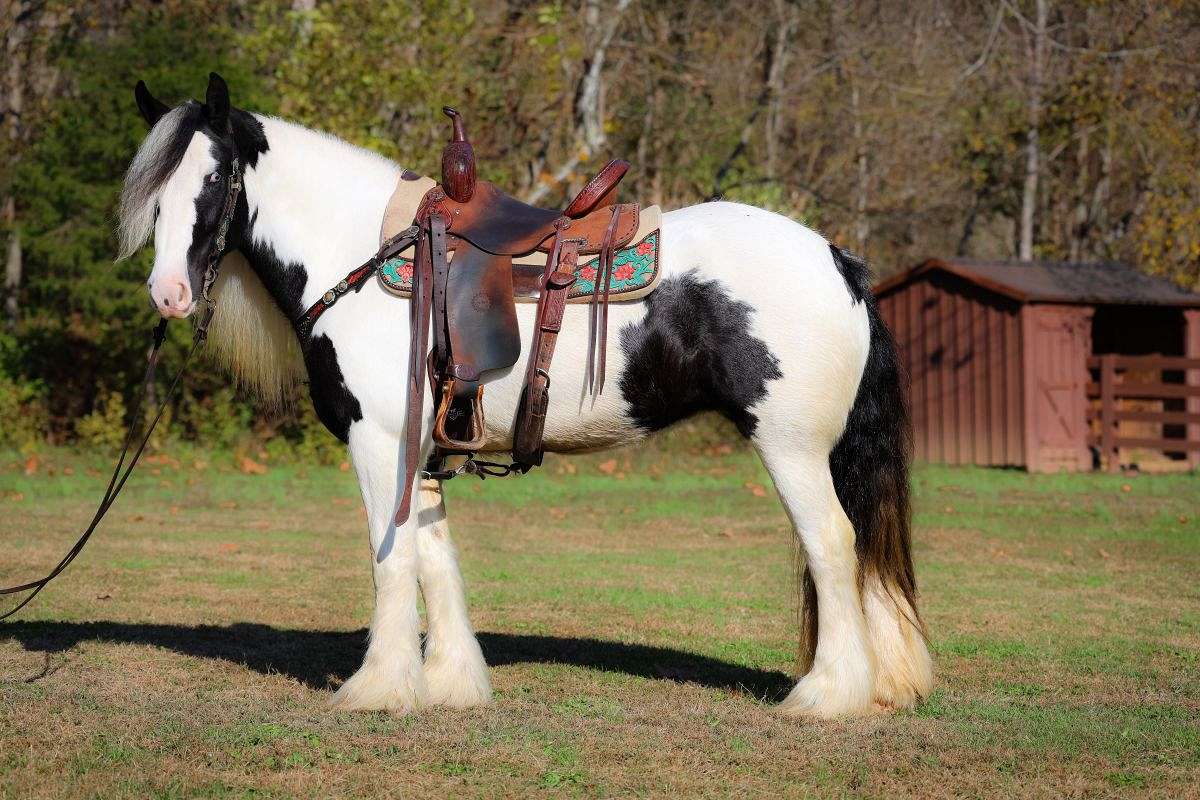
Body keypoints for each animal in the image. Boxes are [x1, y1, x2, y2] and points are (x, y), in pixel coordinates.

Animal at [118, 73, 932, 719]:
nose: (169, 294)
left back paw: (827, 695)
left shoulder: (378, 439)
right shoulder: (425, 445)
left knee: (831, 543)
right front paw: (450, 684)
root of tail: (838, 260)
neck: (361, 257)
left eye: (214, 181)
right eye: (155, 194)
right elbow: (434, 554)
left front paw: (379, 688)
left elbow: (392, 558)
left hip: (792, 447)